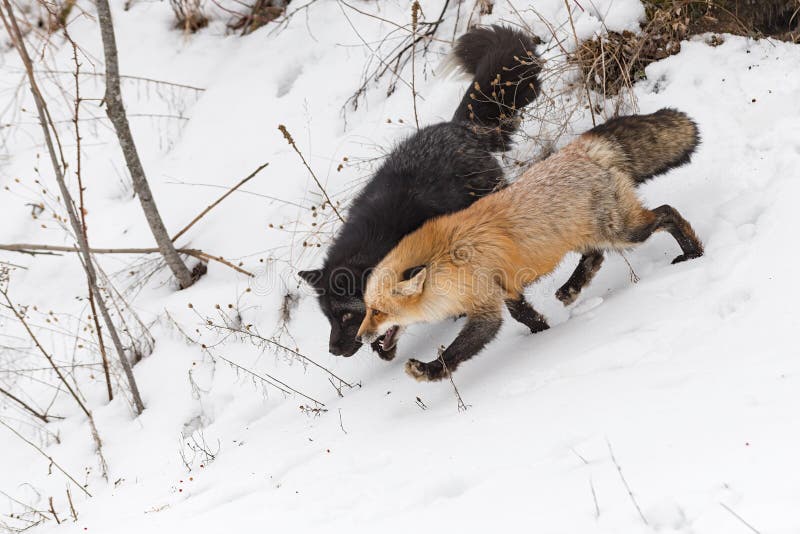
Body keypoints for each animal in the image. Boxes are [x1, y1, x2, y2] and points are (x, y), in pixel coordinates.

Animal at [356, 109, 703, 381]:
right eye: (367, 310)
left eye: (378, 312)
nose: (361, 338)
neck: (445, 260)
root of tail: (580, 147)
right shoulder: (504, 289)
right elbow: (525, 316)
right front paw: (541, 334)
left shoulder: (485, 304)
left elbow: (459, 349)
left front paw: (429, 371)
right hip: (591, 233)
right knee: (595, 256)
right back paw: (572, 288)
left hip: (624, 231)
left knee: (667, 213)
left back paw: (693, 252)